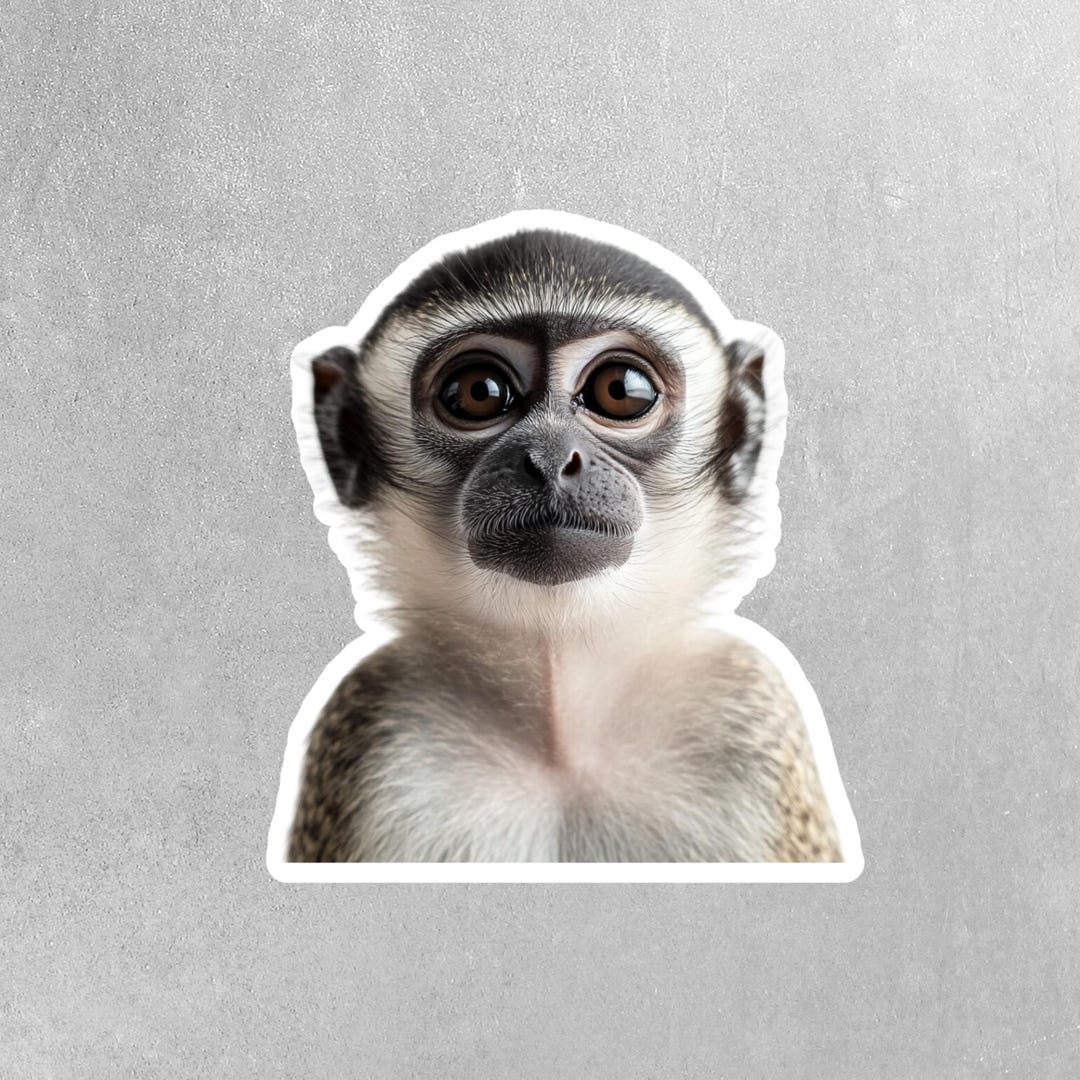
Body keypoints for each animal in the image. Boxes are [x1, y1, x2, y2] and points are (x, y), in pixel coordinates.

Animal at [277, 211, 854, 864]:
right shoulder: (368, 727)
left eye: (619, 390)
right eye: (478, 391)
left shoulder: (752, 714)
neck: (562, 738)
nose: (550, 459)